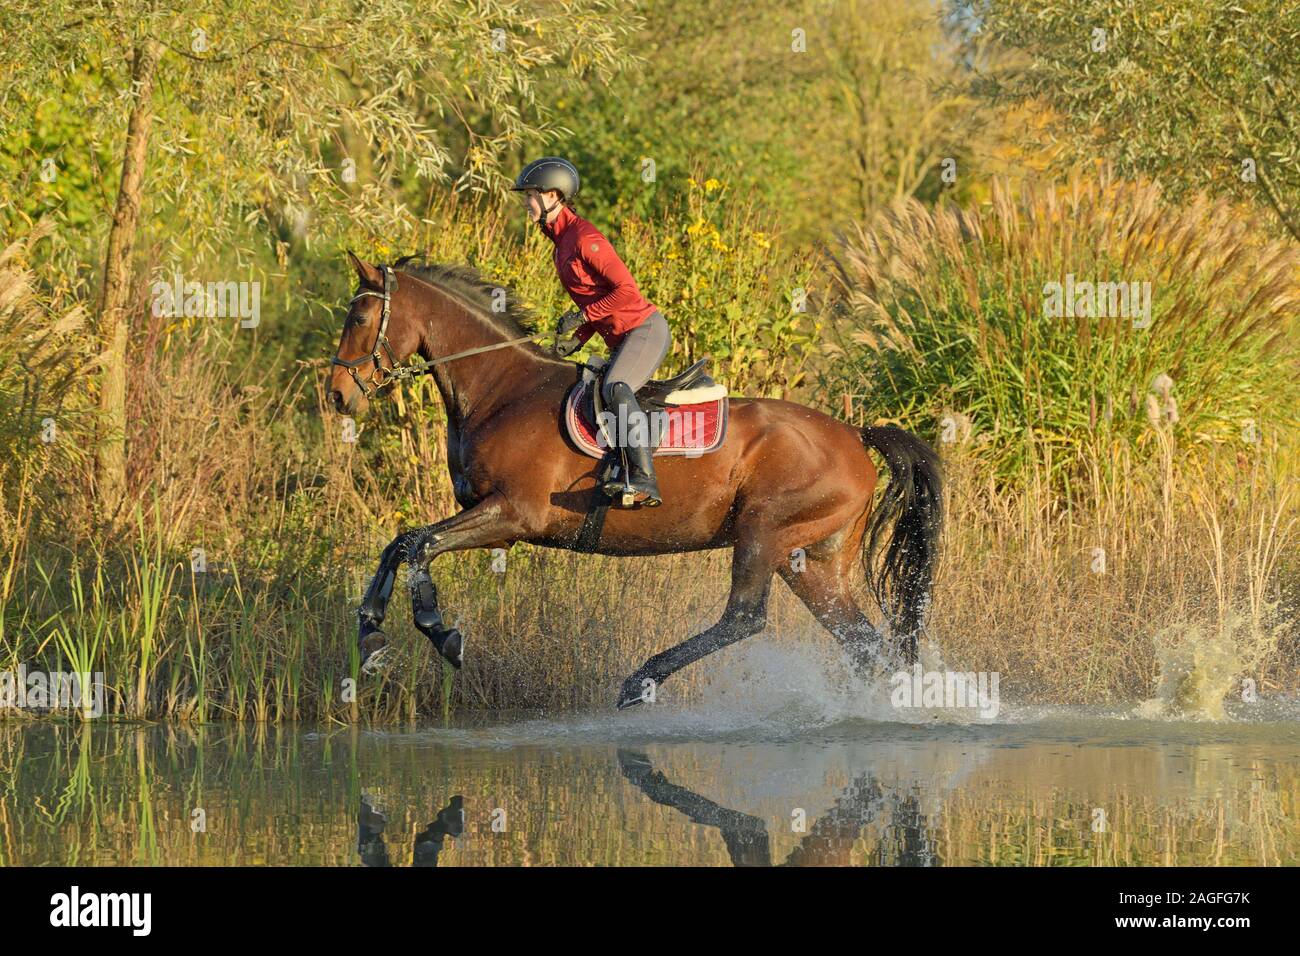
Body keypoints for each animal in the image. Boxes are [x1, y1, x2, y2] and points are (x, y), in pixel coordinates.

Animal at [327, 252, 942, 709]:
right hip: (811, 561)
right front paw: (371, 634)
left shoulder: (513, 516)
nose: (337, 396)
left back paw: (640, 680)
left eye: (358, 320)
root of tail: (856, 436)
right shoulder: (491, 516)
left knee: (744, 618)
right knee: (863, 644)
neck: (500, 388)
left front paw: (440, 632)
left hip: (764, 531)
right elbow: (399, 544)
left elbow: (418, 544)